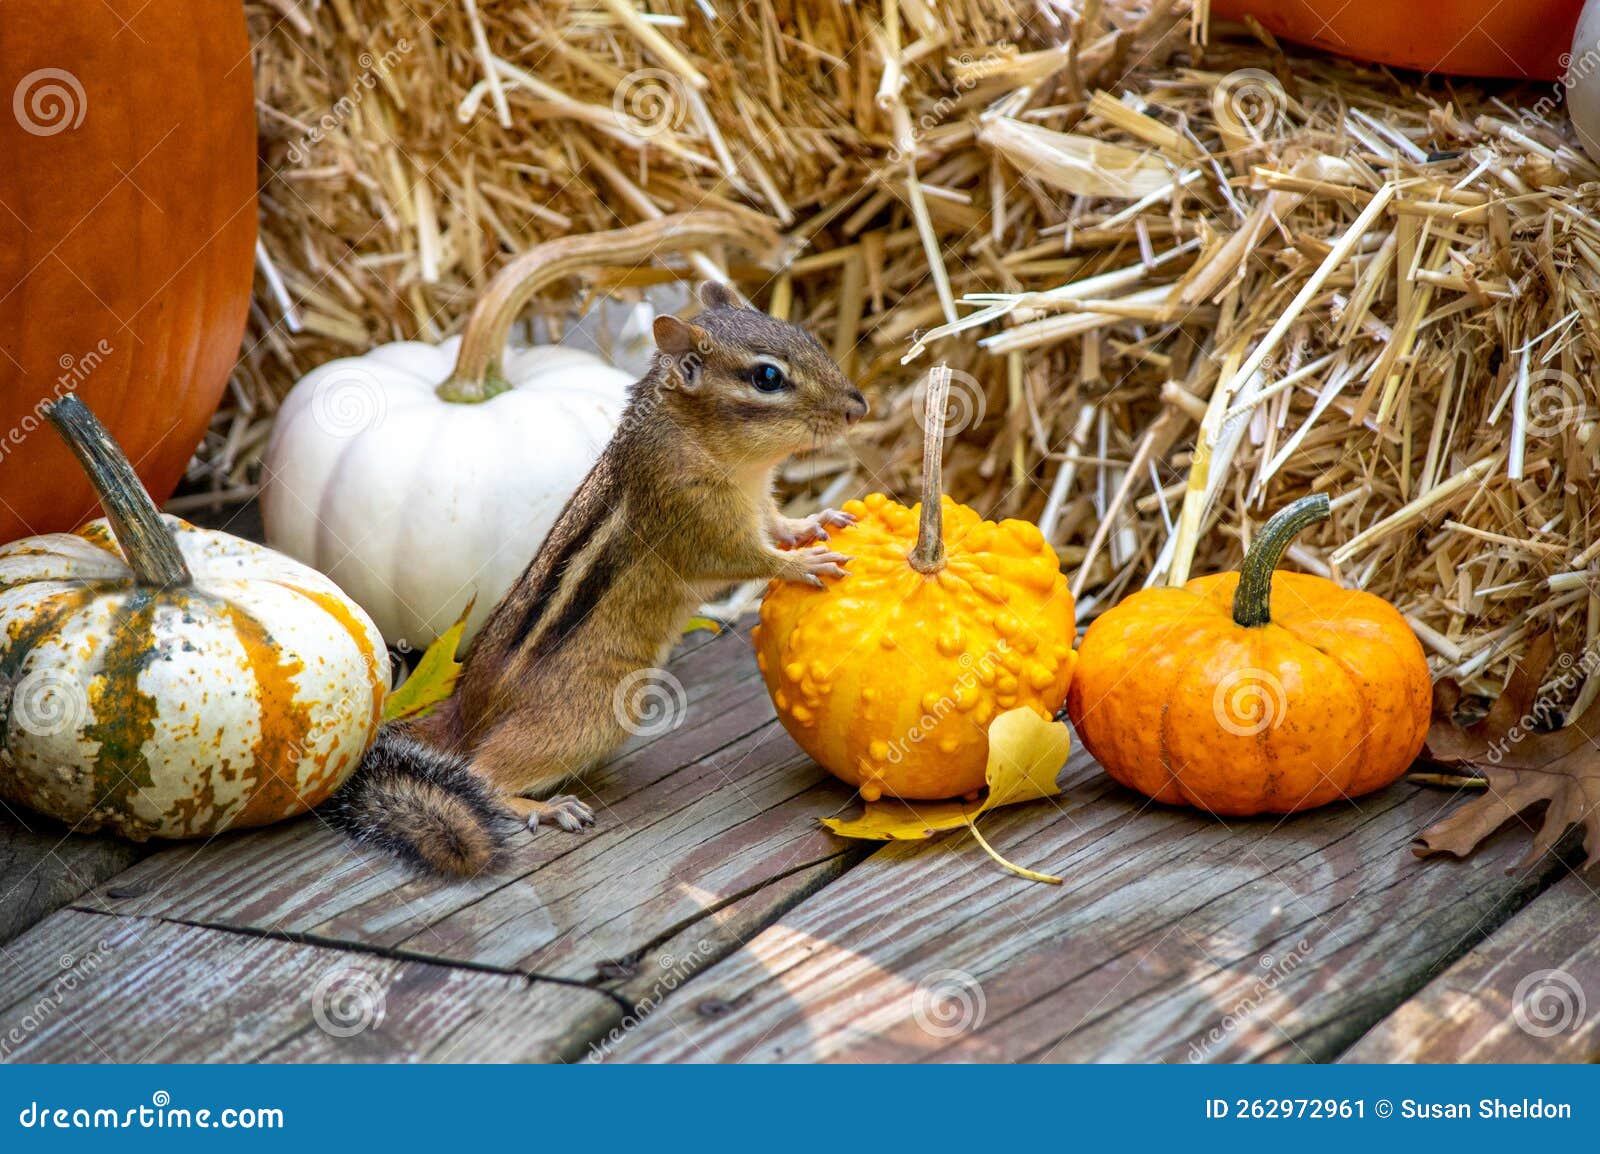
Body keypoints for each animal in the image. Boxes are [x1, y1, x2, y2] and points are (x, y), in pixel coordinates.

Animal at [326, 282, 869, 875]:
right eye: (768, 377)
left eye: (806, 335)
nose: (857, 406)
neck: (720, 454)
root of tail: (463, 712)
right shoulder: (693, 524)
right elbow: (742, 559)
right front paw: (801, 564)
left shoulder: (758, 504)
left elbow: (777, 524)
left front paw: (815, 522)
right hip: (592, 716)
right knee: (481, 772)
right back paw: (541, 806)